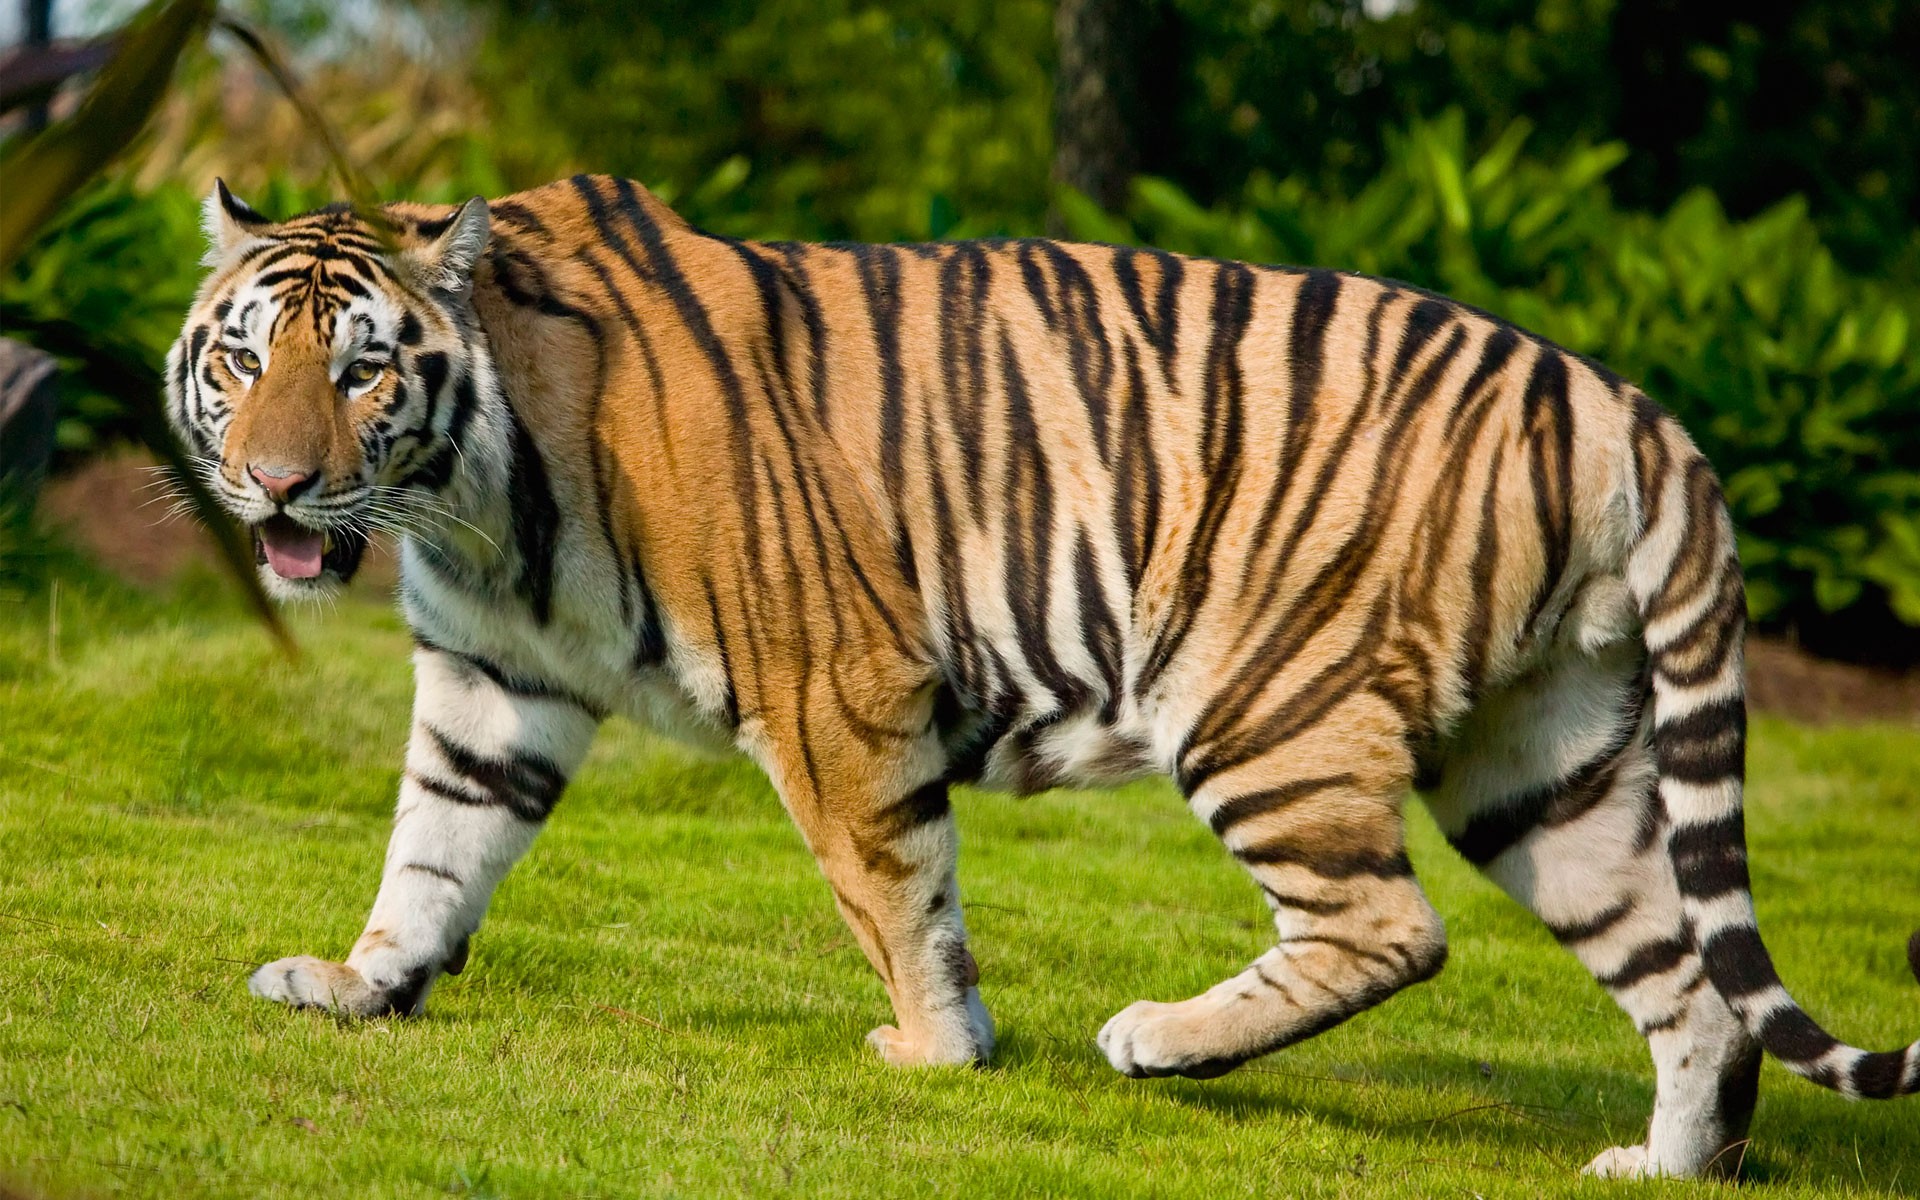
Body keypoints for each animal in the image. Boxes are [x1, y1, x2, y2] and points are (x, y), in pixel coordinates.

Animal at [166, 174, 1920, 1179]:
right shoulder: (490, 682)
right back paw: (1665, 1163)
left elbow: (893, 889)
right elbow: (433, 847)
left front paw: (938, 1053)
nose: (272, 487)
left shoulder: (833, 681)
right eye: (246, 358)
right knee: (1686, 978)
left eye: (364, 370)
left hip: (1262, 700)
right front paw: (362, 983)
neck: (471, 494)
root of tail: (1631, 404)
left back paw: (1159, 1039)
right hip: (1540, 756)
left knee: (1392, 926)